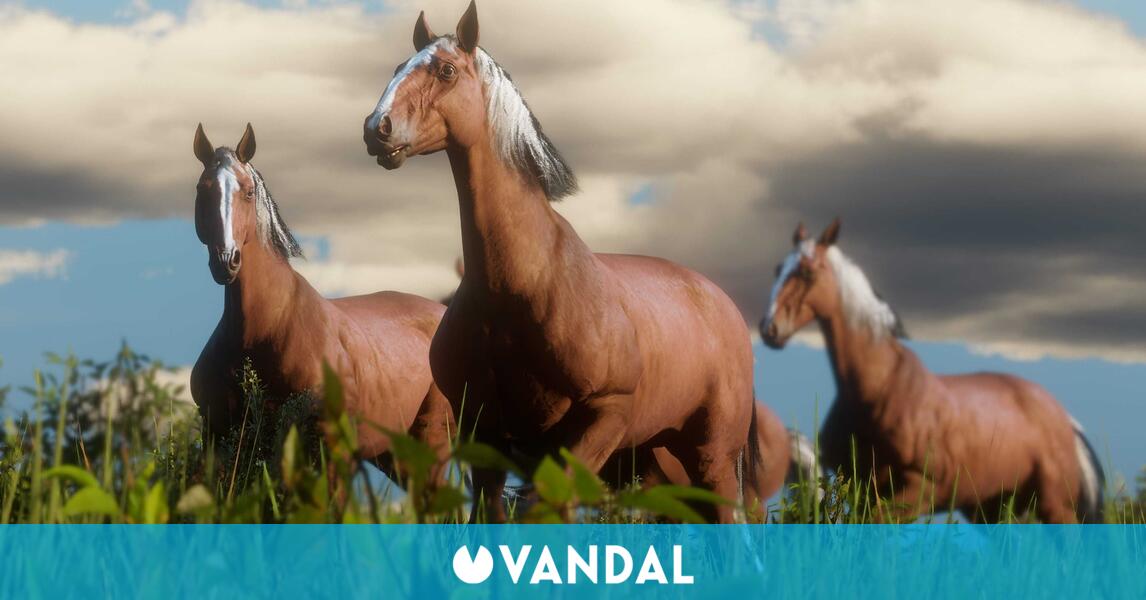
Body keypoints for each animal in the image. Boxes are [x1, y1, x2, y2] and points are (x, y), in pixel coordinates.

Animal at [189, 123, 454, 489]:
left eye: (248, 192)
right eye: (202, 190)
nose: (226, 261)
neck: (262, 330)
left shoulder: (330, 448)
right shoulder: (222, 440)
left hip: (431, 446)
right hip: (394, 456)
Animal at [362, 2, 757, 523]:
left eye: (446, 70)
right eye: (396, 68)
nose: (377, 129)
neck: (520, 286)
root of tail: (724, 305)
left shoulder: (602, 417)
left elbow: (542, 509)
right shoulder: (486, 435)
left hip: (710, 455)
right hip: (651, 459)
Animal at [759, 219, 1105, 523]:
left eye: (806, 271)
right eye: (777, 269)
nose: (769, 329)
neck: (877, 389)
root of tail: (1067, 423)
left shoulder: (919, 492)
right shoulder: (863, 491)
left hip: (1055, 507)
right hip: (991, 509)